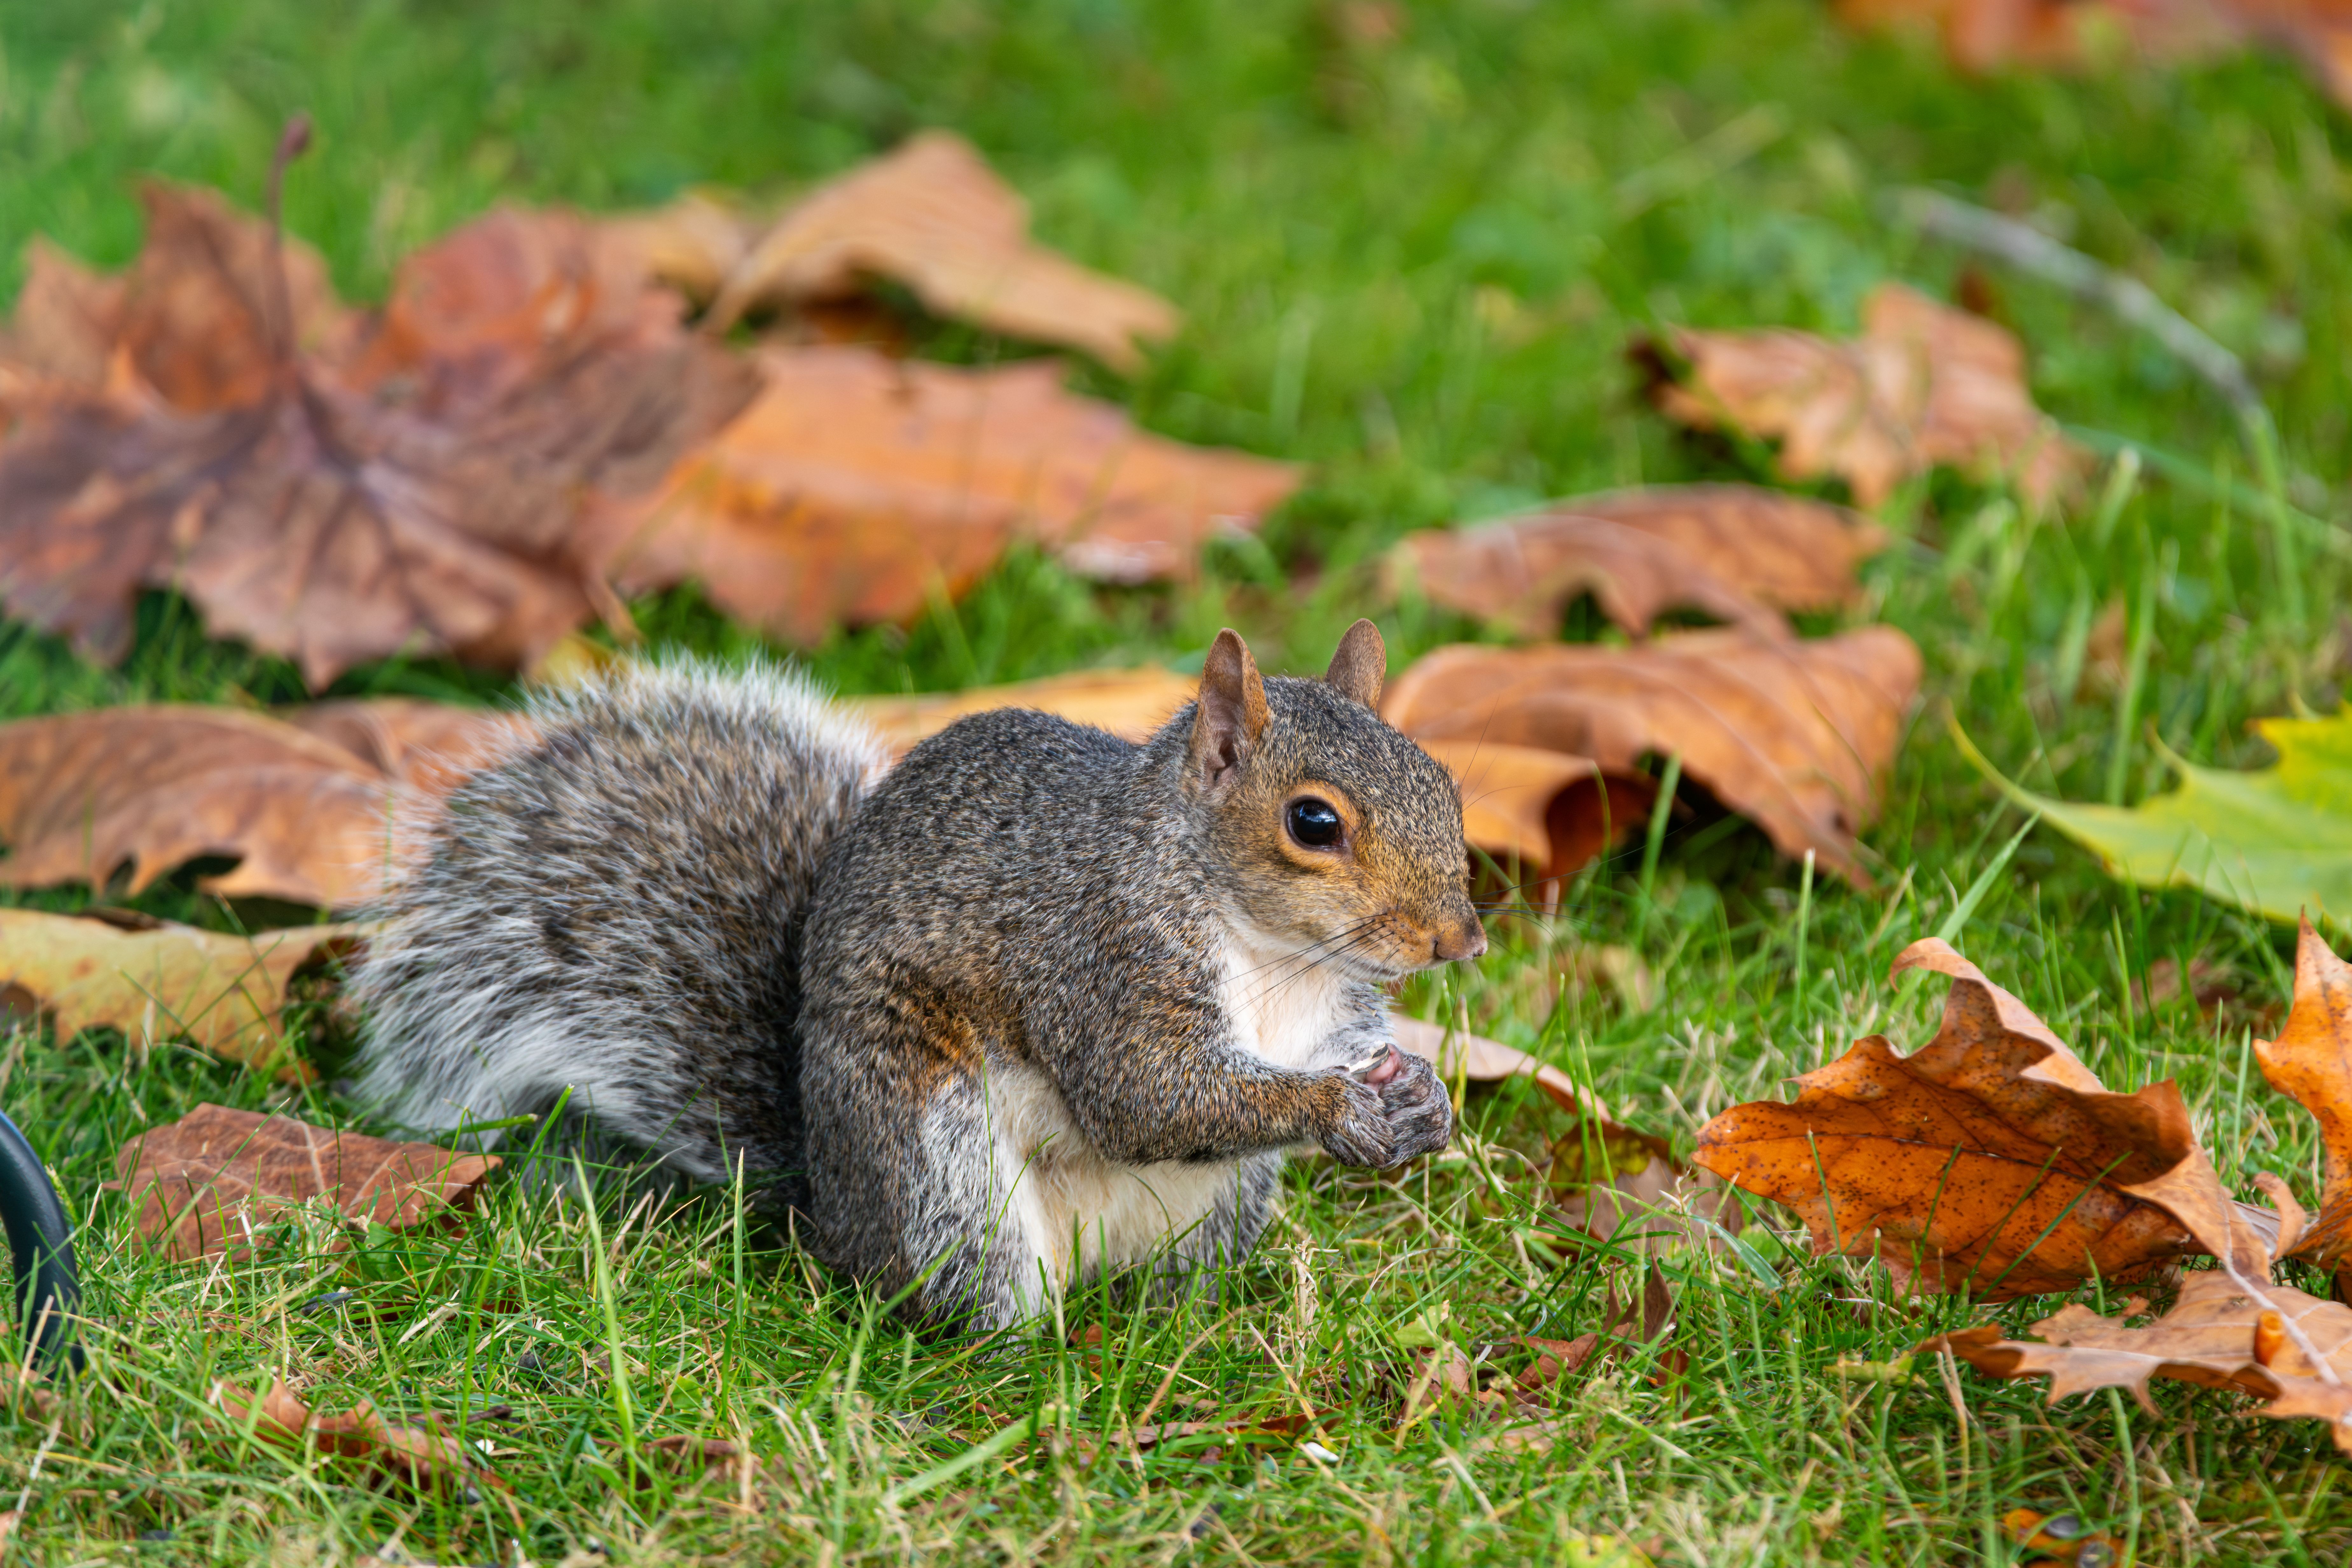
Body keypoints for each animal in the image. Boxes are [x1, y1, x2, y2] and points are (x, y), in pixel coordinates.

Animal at [352, 620, 1486, 1331]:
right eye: (1313, 821)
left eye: (1445, 782)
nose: (1459, 941)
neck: (1273, 957)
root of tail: (829, 1210)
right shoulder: (1099, 960)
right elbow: (1147, 1098)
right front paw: (1336, 1109)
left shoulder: (1323, 1009)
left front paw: (1421, 1098)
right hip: (941, 1171)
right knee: (970, 1305)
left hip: (1218, 1206)